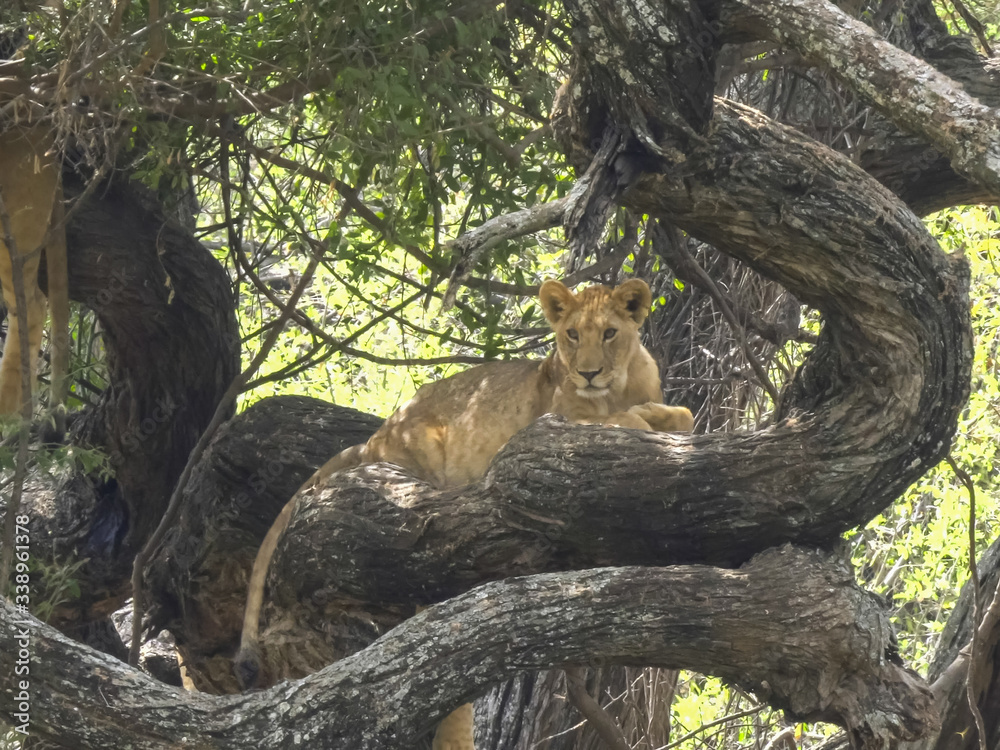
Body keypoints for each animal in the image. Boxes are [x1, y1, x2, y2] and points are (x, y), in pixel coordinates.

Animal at [236, 278, 693, 749]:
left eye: (609, 333)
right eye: (571, 334)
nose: (587, 373)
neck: (616, 387)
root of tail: (374, 436)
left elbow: (684, 414)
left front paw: (657, 414)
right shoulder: (551, 425)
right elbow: (623, 421)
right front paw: (640, 418)